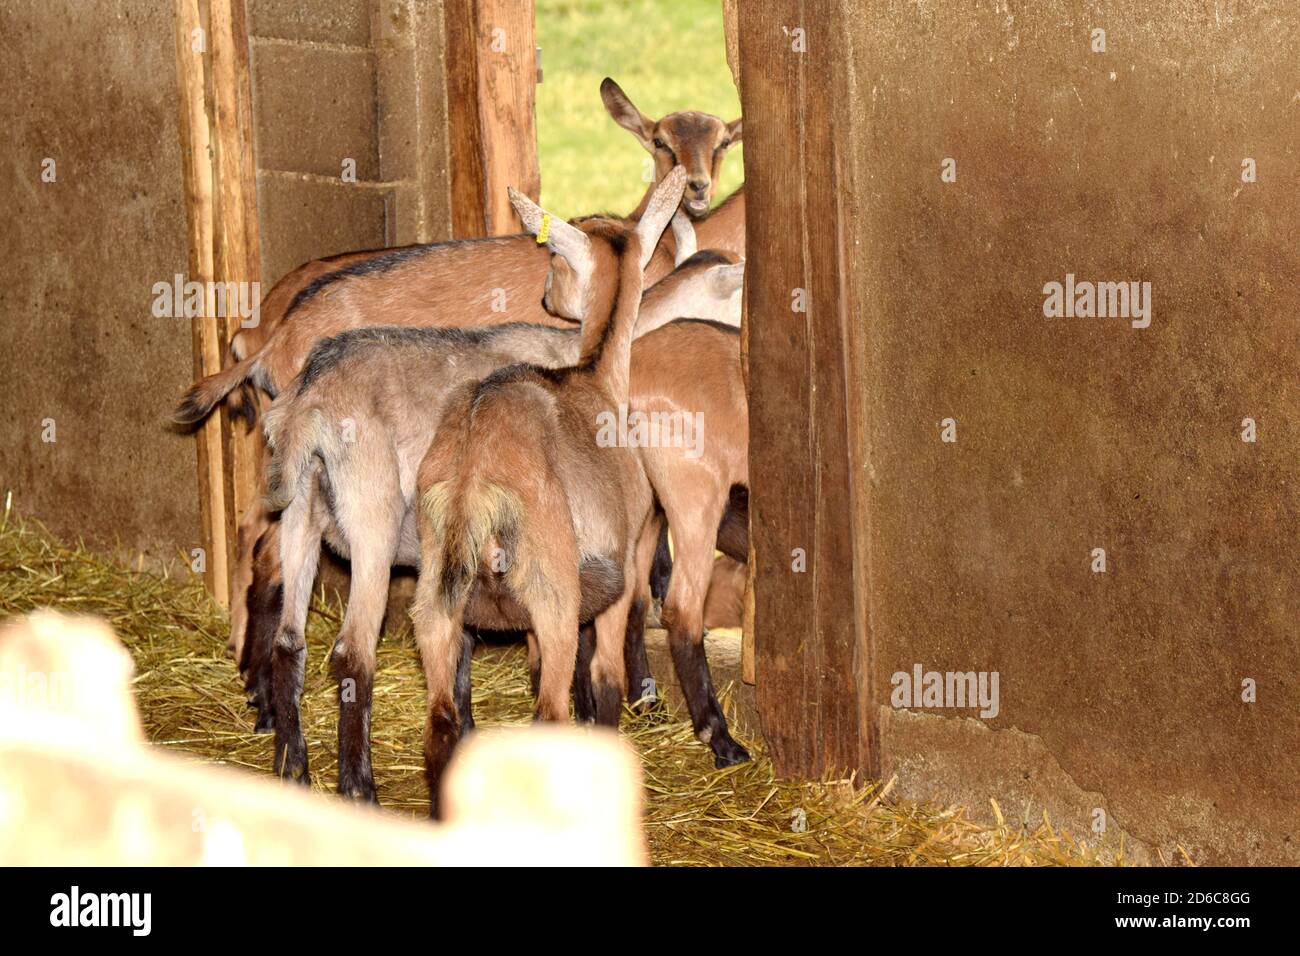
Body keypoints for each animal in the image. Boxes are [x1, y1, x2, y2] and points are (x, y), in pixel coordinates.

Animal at [410, 168, 688, 814]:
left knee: (442, 724)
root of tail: (473, 477)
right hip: (553, 589)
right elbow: (606, 683)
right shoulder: (624, 570)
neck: (595, 375)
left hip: (437, 603)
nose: (543, 297)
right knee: (552, 714)